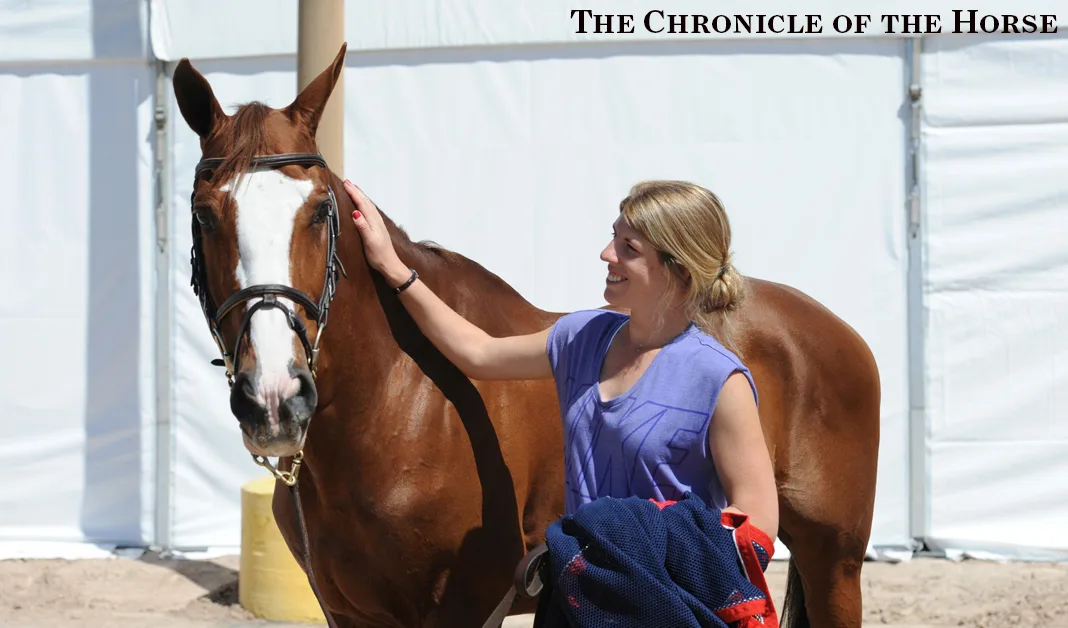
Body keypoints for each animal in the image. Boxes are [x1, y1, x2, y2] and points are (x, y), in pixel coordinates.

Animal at [171, 42, 880, 628]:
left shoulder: (462, 608)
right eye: (204, 214)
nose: (274, 397)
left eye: (320, 210)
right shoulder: (350, 613)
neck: (396, 402)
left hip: (834, 564)